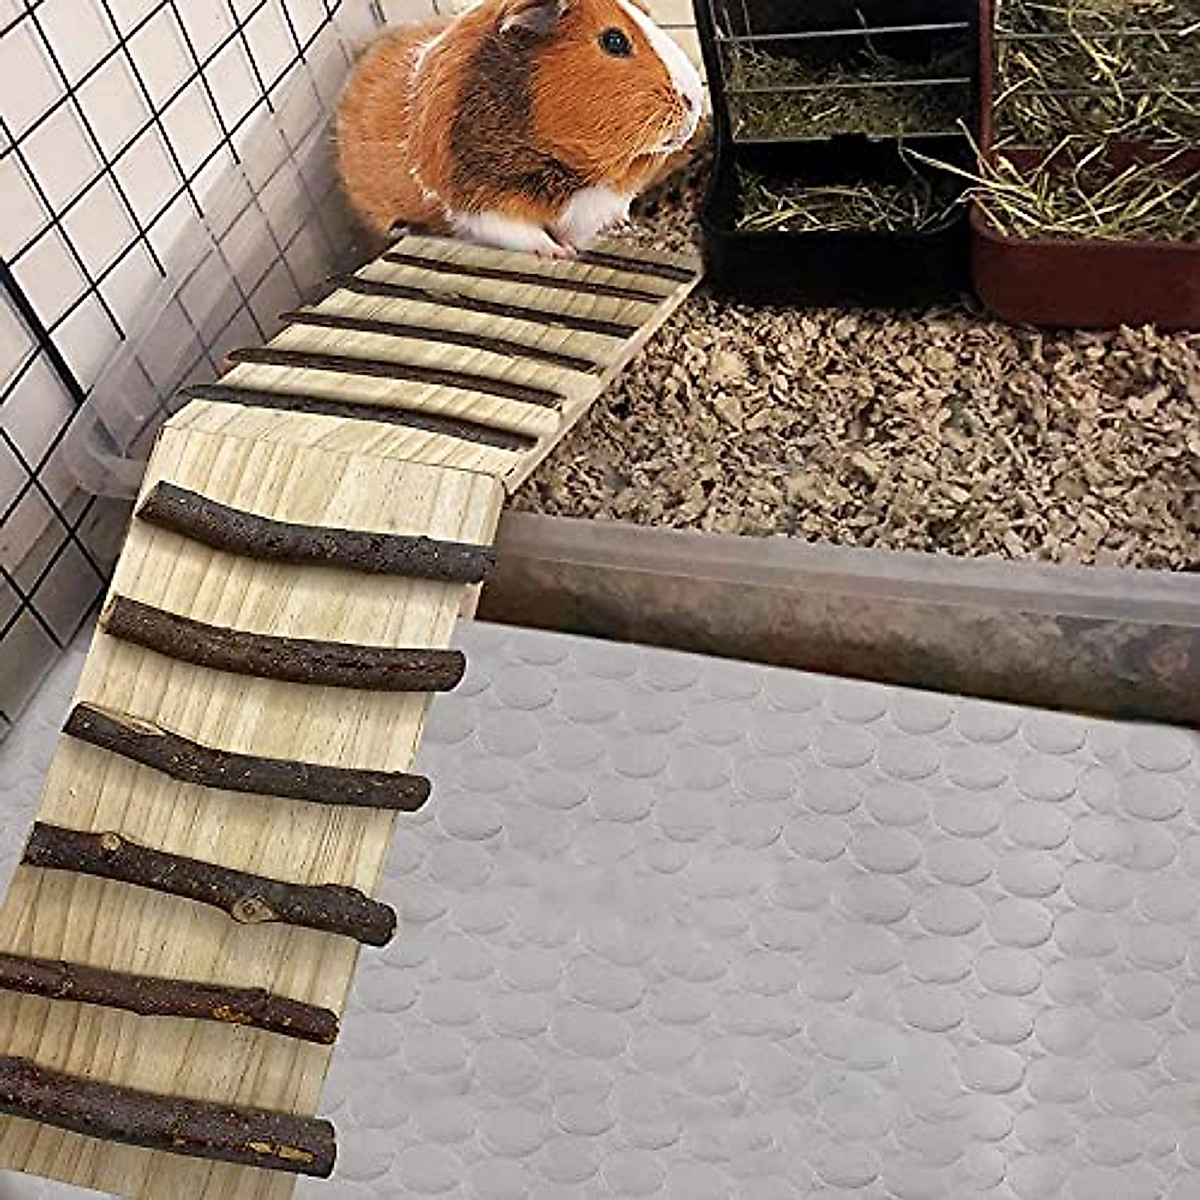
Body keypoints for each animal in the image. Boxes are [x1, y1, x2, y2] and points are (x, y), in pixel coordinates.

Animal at [336, 0, 705, 258]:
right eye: (614, 41)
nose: (695, 101)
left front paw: (616, 226)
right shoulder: (484, 207)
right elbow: (524, 234)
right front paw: (561, 253)